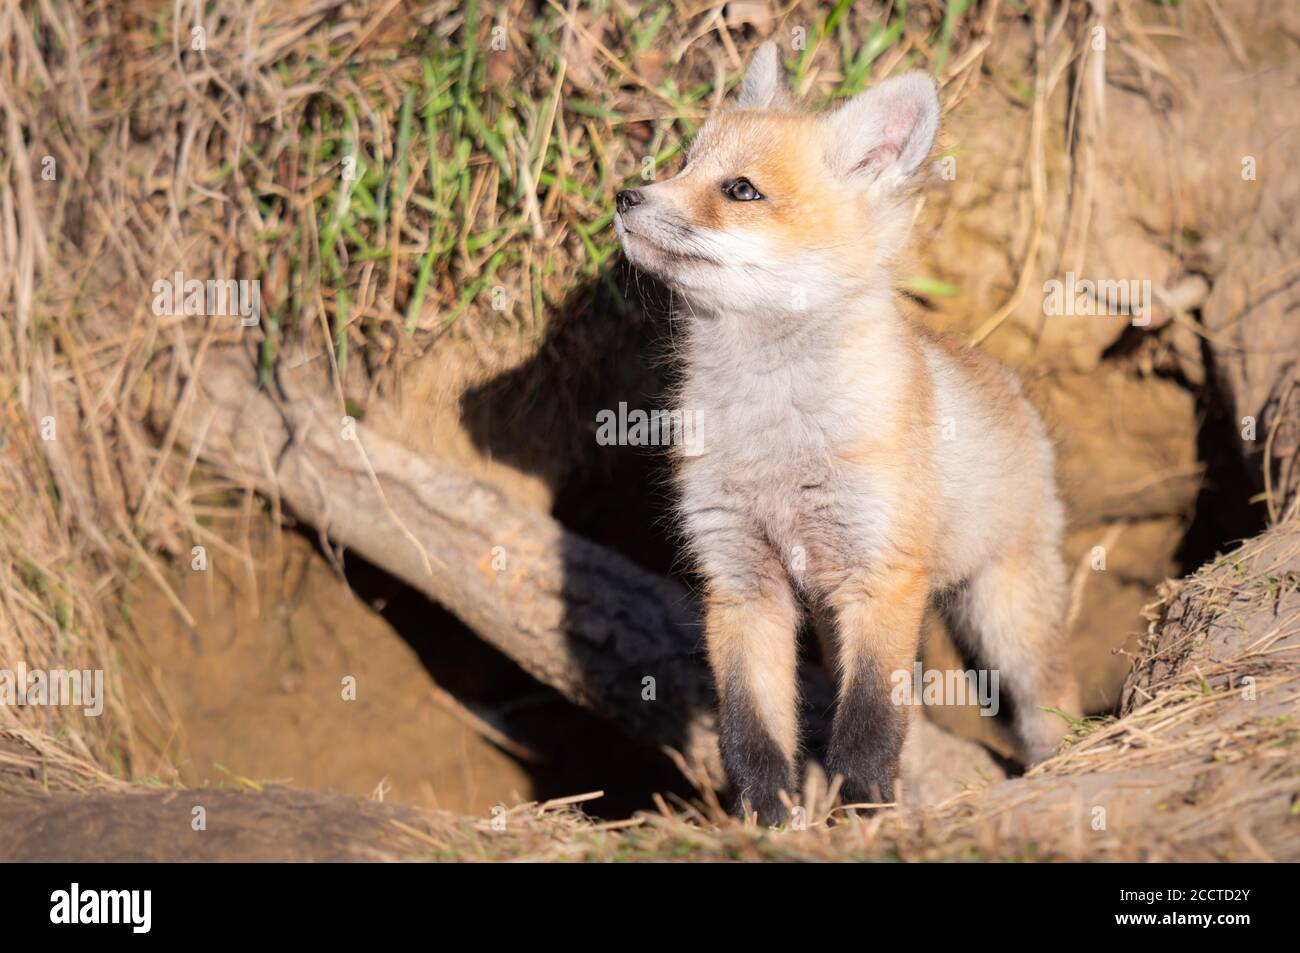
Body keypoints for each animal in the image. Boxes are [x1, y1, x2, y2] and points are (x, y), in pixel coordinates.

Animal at [613, 43, 1082, 823]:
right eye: (682, 164)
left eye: (740, 190)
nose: (625, 196)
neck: (775, 430)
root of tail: (1002, 377)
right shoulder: (741, 581)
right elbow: (752, 727)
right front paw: (767, 818)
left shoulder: (882, 575)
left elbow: (866, 726)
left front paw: (860, 810)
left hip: (1002, 609)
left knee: (1048, 693)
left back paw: (1062, 761)